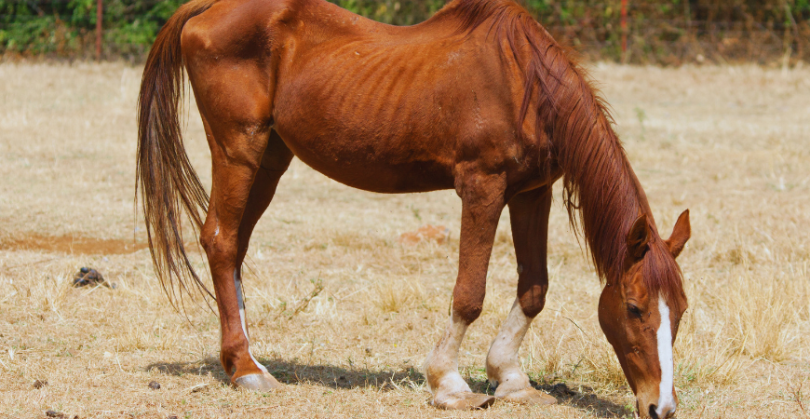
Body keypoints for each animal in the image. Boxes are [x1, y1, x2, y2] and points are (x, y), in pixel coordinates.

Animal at [137, 0, 691, 416]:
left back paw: (244, 361)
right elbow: (469, 293)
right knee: (221, 240)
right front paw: (449, 383)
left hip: (271, 159)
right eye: (635, 308)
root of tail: (210, 9)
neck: (525, 84)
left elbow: (534, 289)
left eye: (681, 309)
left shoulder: (533, 193)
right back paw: (247, 370)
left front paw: (509, 377)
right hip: (238, 149)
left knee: (234, 247)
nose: (660, 407)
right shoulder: (482, 187)